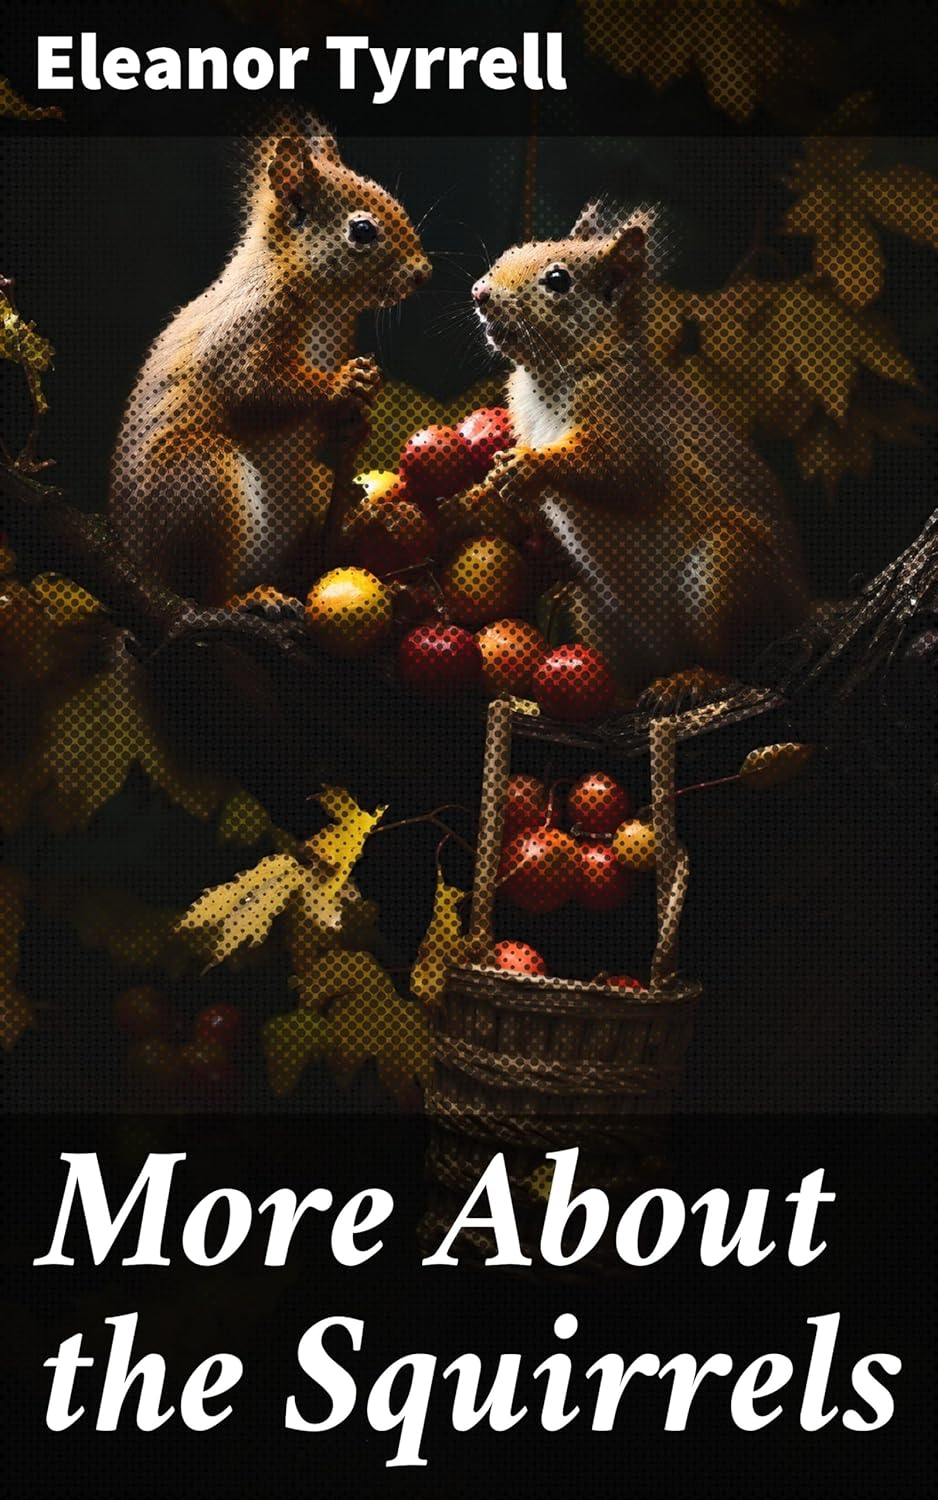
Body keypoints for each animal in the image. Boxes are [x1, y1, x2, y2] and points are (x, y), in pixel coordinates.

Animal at [109, 117, 431, 606]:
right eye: (362, 230)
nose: (423, 272)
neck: (326, 305)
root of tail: (139, 564)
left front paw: (359, 417)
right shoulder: (245, 328)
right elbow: (255, 389)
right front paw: (341, 381)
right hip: (200, 485)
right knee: (204, 592)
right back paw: (250, 599)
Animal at [472, 203, 808, 700]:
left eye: (558, 280)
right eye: (512, 252)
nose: (480, 293)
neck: (548, 377)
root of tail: (799, 612)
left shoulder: (632, 423)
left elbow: (618, 472)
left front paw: (532, 466)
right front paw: (499, 484)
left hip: (727, 570)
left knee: (737, 662)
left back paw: (696, 678)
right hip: (594, 613)